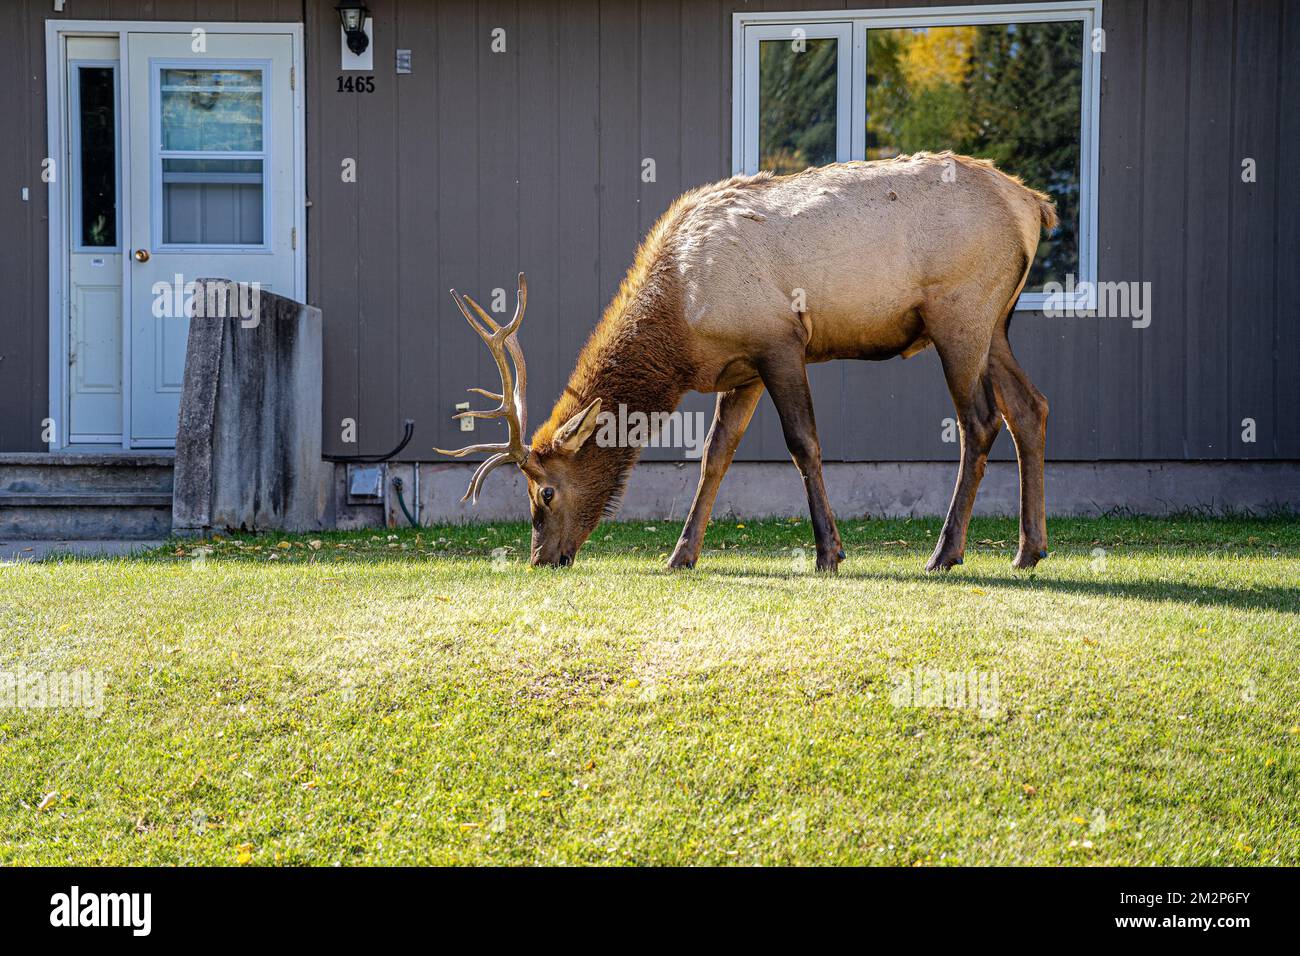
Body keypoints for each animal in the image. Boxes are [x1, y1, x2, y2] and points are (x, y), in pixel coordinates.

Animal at [435, 152, 1055, 573]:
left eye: (544, 493)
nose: (540, 557)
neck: (680, 326)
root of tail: (1033, 206)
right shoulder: (743, 369)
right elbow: (715, 456)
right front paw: (681, 555)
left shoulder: (779, 338)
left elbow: (803, 443)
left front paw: (829, 552)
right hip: (996, 322)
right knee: (1030, 408)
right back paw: (1029, 549)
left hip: (959, 312)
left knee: (979, 422)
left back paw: (945, 553)